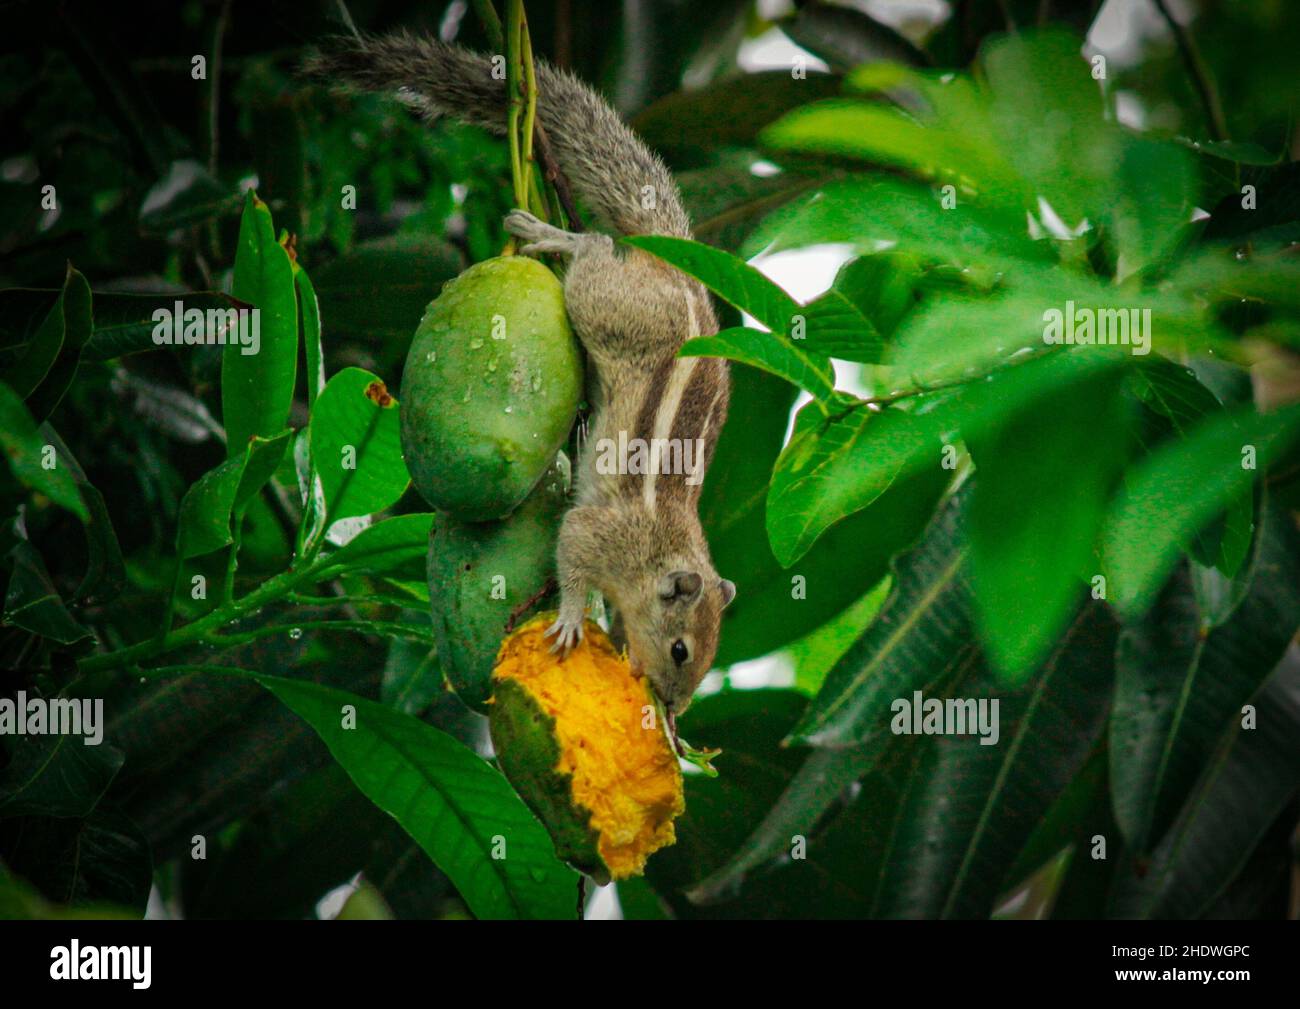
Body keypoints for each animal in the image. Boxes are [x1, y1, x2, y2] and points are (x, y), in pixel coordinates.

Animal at [305, 32, 736, 720]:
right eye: (681, 651)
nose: (673, 710)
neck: (659, 550)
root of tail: (682, 271)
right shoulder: (600, 533)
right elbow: (572, 558)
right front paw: (569, 618)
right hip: (608, 307)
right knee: (595, 253)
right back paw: (556, 235)